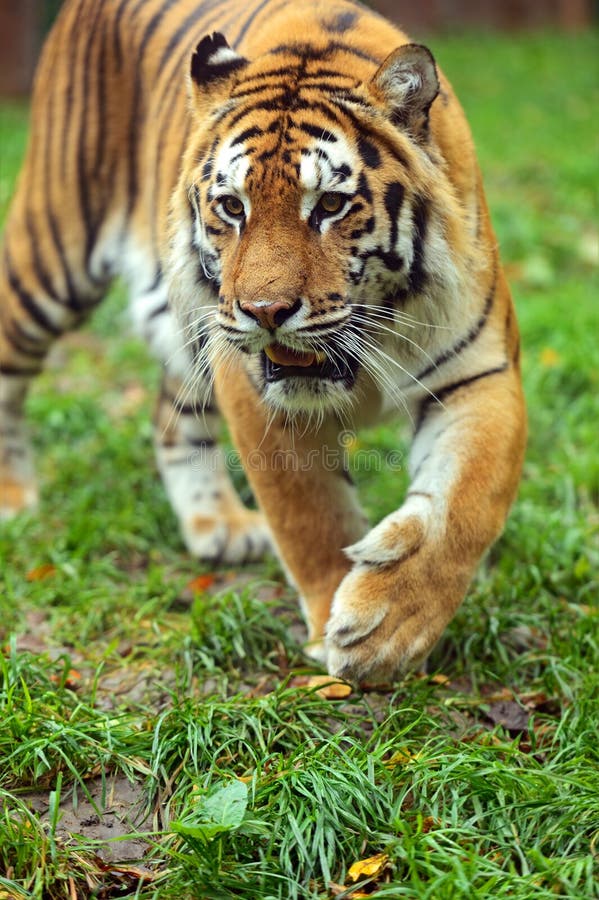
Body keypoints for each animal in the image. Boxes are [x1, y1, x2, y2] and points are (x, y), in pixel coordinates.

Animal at [0, 0, 526, 681]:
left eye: (329, 205)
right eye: (231, 206)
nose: (264, 311)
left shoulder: (479, 372)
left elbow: (465, 504)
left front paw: (388, 627)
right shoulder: (254, 387)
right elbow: (310, 512)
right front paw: (338, 625)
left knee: (172, 417)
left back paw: (218, 525)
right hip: (52, 252)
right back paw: (14, 499)